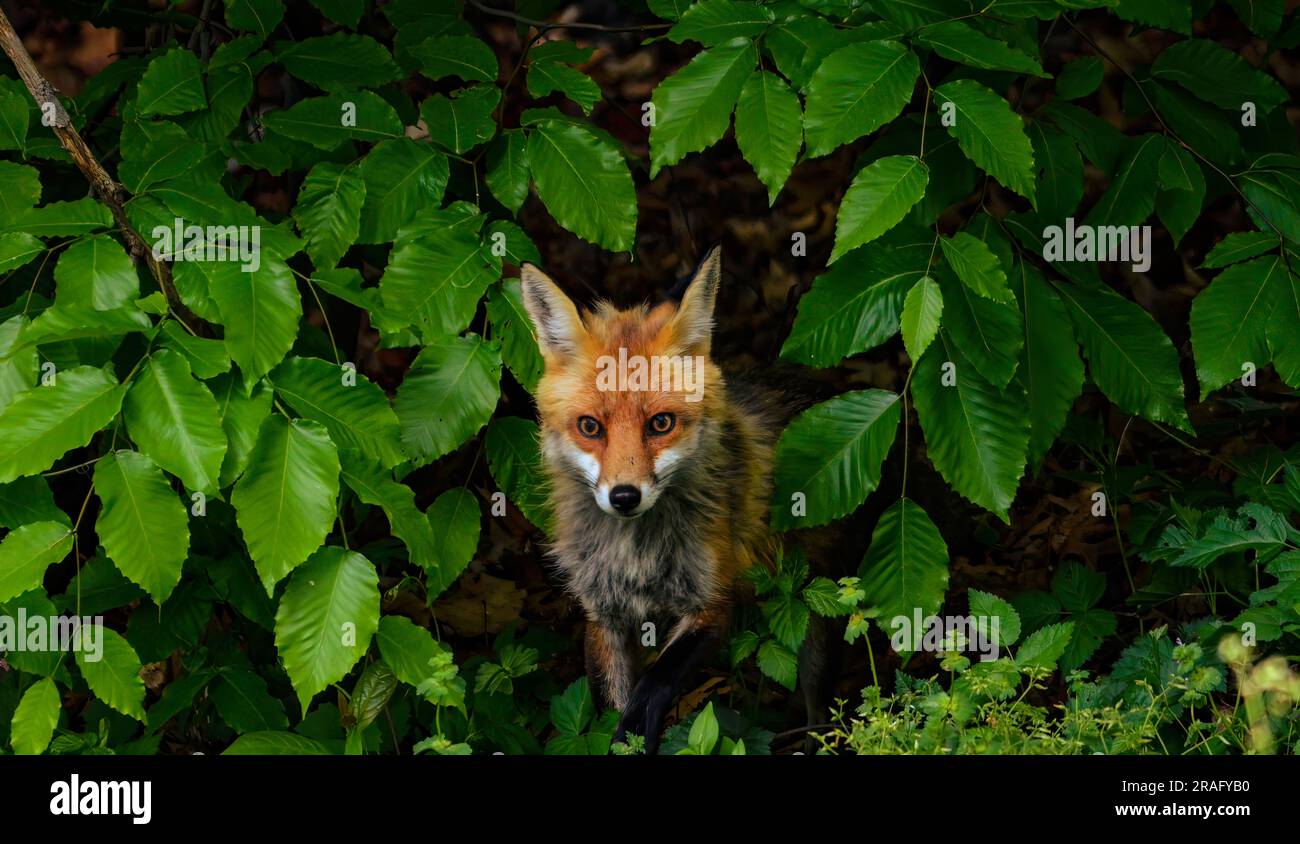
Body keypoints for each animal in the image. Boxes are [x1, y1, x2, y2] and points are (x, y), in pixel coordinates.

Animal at [520, 247, 833, 753]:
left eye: (661, 423)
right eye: (590, 427)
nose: (624, 496)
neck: (637, 554)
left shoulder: (712, 595)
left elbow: (656, 682)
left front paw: (635, 731)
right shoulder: (602, 612)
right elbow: (609, 702)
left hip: (816, 623)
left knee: (821, 709)